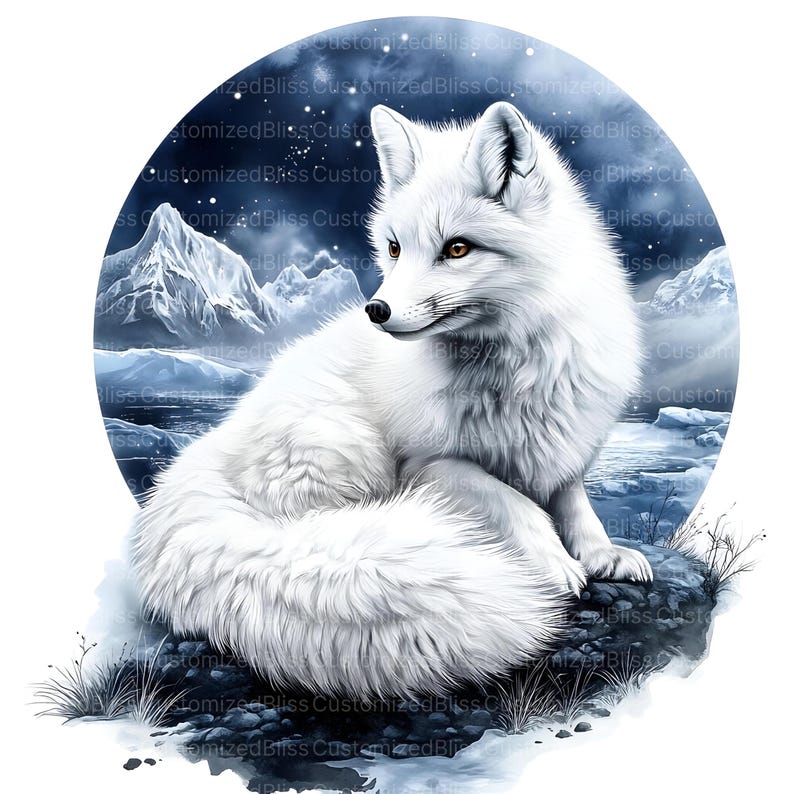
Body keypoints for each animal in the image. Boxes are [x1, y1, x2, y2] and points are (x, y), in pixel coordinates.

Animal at [130, 101, 652, 699]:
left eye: (457, 248)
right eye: (395, 248)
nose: (375, 310)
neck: (517, 367)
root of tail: (209, 454)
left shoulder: (565, 443)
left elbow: (574, 502)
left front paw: (602, 554)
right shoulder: (429, 464)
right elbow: (518, 505)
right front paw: (552, 562)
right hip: (344, 446)